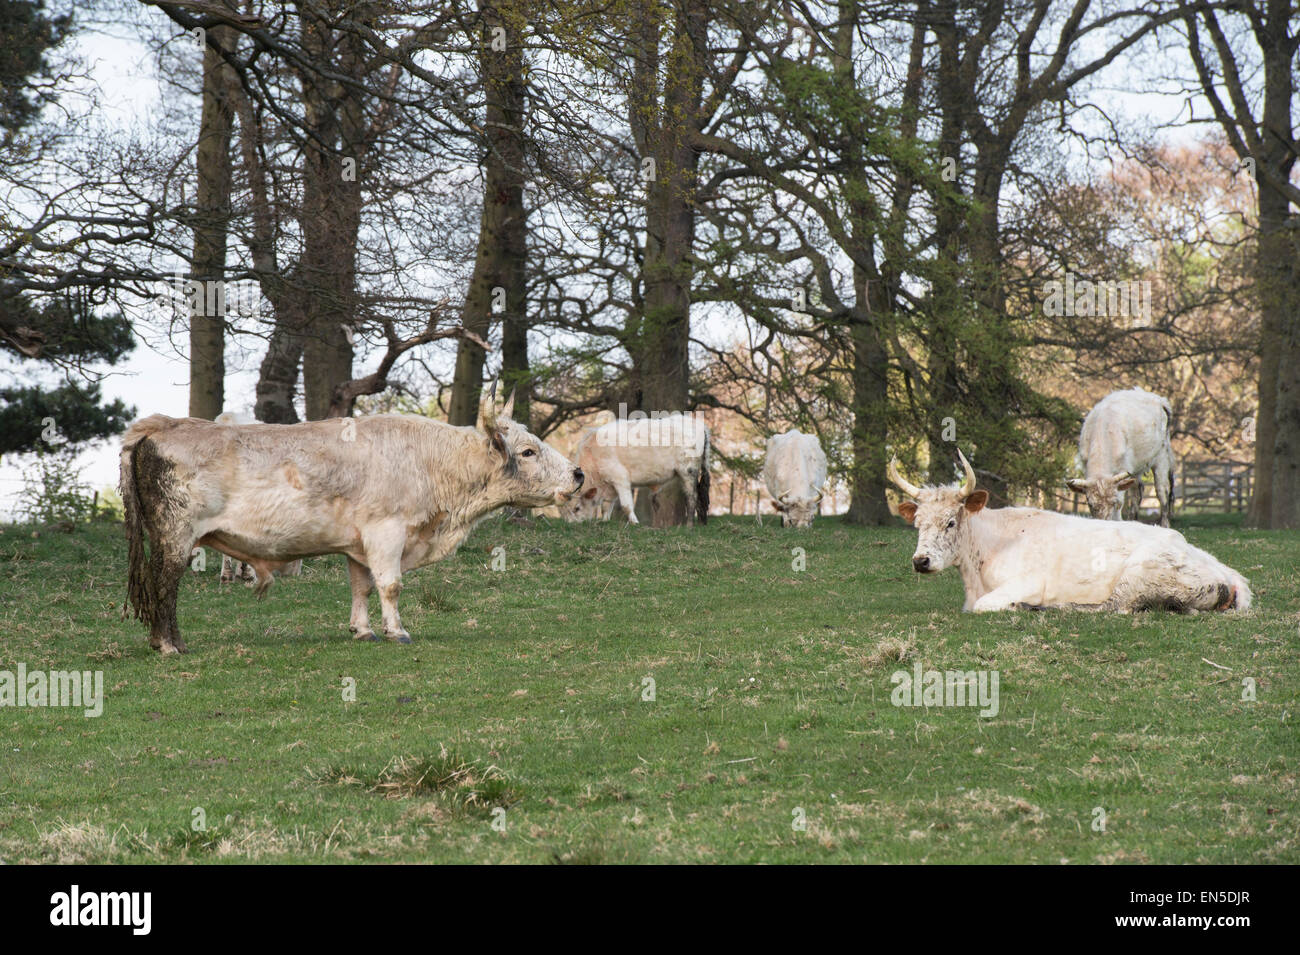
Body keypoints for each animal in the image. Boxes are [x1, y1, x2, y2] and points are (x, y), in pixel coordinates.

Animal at [564, 413, 710, 525]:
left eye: (577, 508)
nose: (572, 524)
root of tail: (699, 424)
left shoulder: (620, 478)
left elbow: (626, 505)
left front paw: (634, 523)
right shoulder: (610, 487)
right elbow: (606, 506)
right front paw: (605, 521)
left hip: (688, 471)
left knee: (692, 497)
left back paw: (689, 525)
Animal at [887, 450, 1250, 613]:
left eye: (950, 521)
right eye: (917, 523)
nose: (920, 561)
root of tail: (1228, 574)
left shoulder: (1028, 581)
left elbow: (984, 606)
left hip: (1138, 577)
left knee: (1114, 607)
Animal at [1067, 388, 1175, 527]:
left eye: (1113, 503)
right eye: (1090, 504)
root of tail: (1160, 399)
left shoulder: (1122, 469)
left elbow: (1121, 501)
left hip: (1161, 456)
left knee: (1162, 491)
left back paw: (1165, 524)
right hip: (1138, 465)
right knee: (1137, 492)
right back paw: (1132, 520)